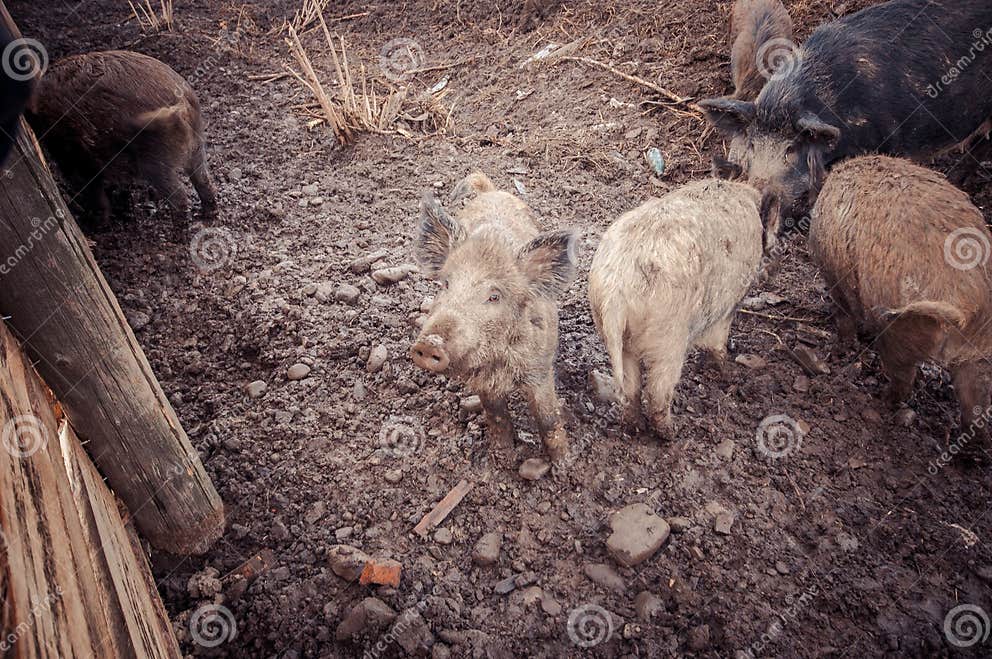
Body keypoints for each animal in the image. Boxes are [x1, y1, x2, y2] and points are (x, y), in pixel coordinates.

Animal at [26, 50, 217, 225]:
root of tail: (182, 103)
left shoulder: (75, 156)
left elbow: (92, 188)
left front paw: (96, 224)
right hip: (196, 145)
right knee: (203, 180)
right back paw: (208, 215)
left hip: (156, 160)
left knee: (180, 197)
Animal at [410, 172, 578, 462]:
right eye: (445, 283)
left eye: (495, 296)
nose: (430, 344)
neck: (500, 362)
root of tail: (492, 191)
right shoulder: (482, 381)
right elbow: (496, 416)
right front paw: (503, 456)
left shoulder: (540, 369)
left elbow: (548, 418)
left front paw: (564, 463)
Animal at [589, 179, 779, 437]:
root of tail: (616, 290)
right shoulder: (728, 304)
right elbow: (717, 342)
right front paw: (728, 372)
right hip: (669, 336)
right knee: (658, 390)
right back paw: (673, 432)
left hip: (614, 334)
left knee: (630, 387)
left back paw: (634, 427)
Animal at [809, 155, 992, 436]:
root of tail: (964, 304)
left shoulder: (832, 273)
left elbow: (843, 315)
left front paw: (840, 344)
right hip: (979, 354)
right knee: (976, 408)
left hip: (900, 331)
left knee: (903, 380)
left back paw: (880, 400)